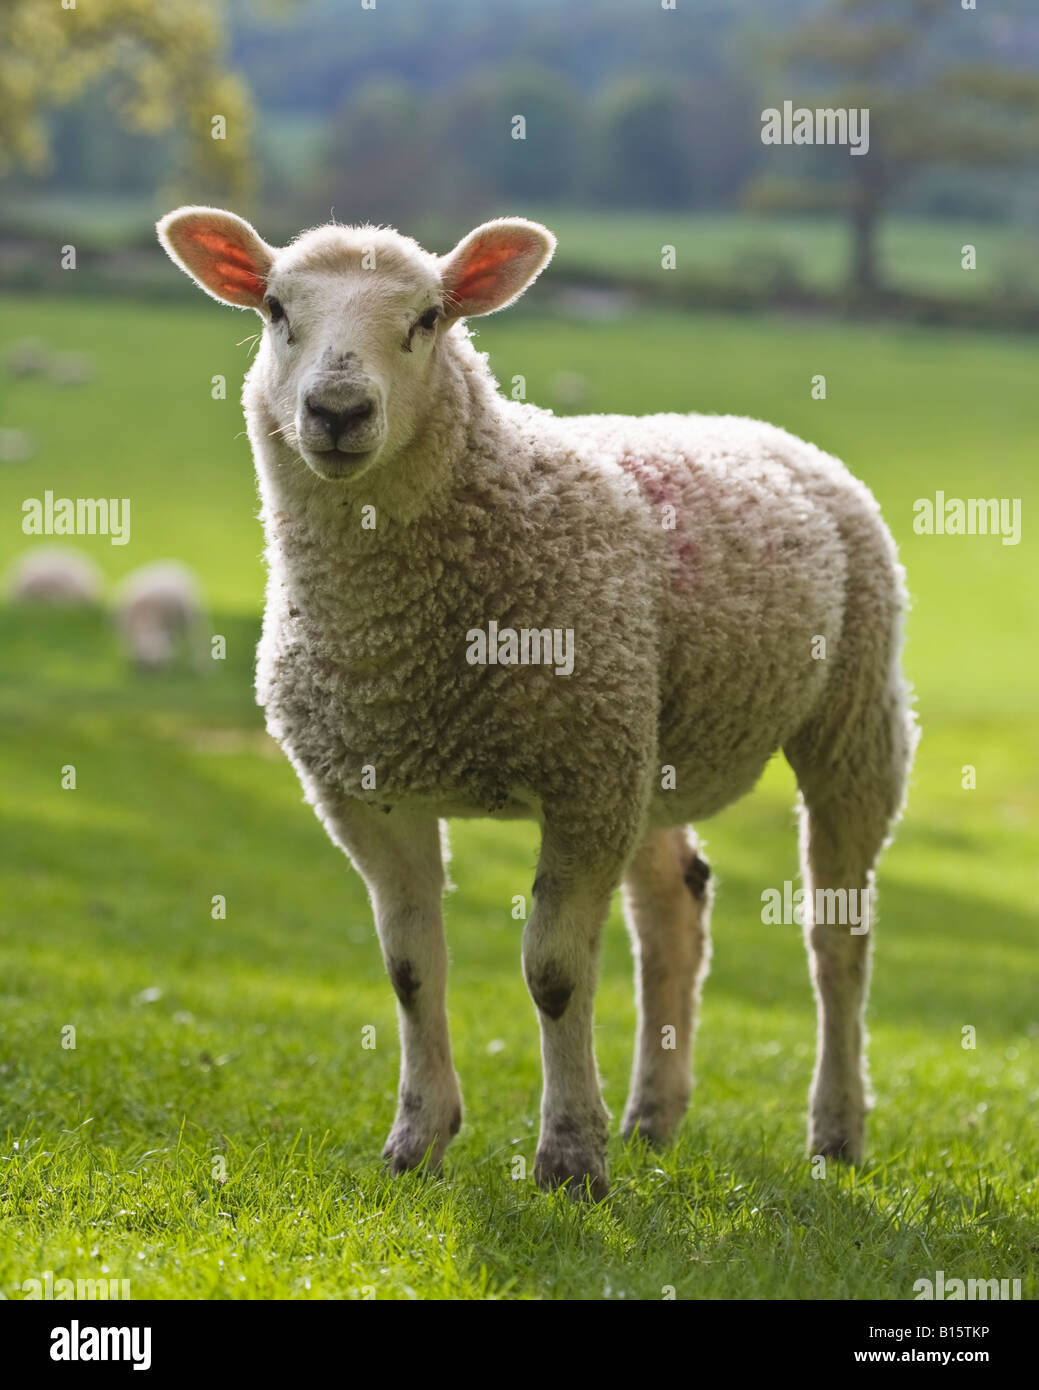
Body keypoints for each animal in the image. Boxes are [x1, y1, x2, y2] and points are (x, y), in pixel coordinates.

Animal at [157, 205, 917, 1198]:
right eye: (275, 309)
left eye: (430, 318)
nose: (337, 412)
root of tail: (756, 429)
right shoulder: (368, 790)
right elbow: (410, 968)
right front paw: (417, 1143)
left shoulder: (581, 780)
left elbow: (554, 974)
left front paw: (568, 1161)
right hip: (642, 734)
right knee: (674, 911)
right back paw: (652, 1118)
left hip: (848, 714)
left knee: (838, 943)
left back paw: (834, 1131)